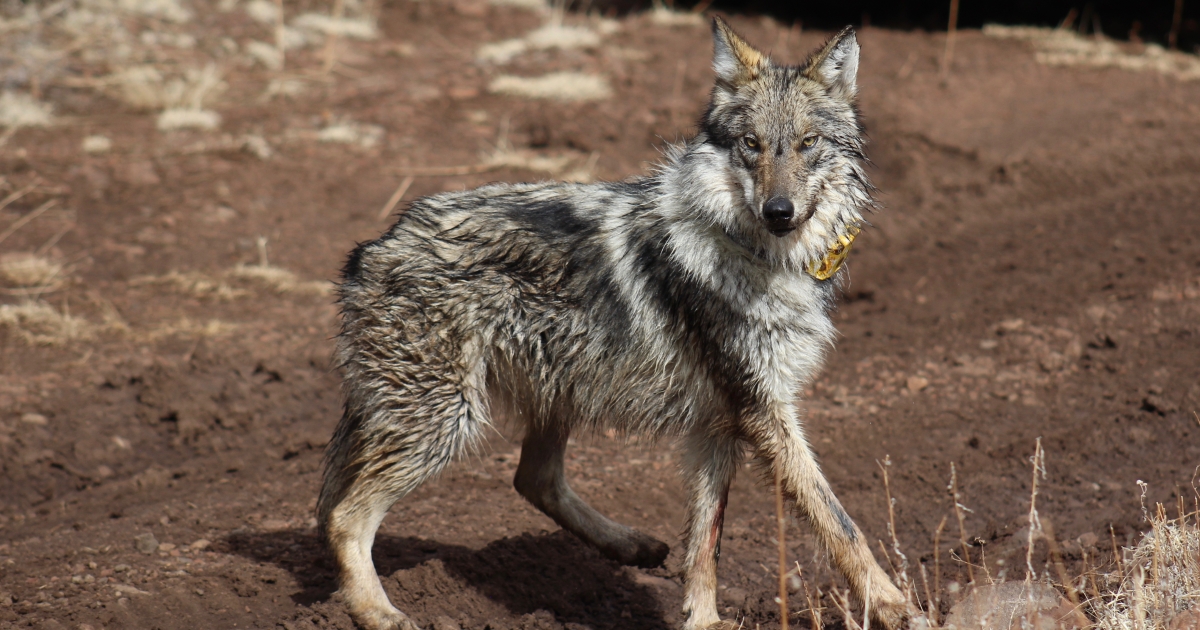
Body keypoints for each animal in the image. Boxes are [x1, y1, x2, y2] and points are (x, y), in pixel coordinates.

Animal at [317, 16, 908, 630]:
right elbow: (838, 521)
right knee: (345, 517)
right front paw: (896, 606)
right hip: (447, 422)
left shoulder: (723, 421)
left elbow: (706, 544)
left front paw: (701, 620)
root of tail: (371, 248)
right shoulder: (763, 411)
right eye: (752, 145)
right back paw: (378, 613)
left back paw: (629, 545)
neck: (758, 255)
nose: (779, 212)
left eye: (808, 143)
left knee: (531, 479)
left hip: (550, 390)